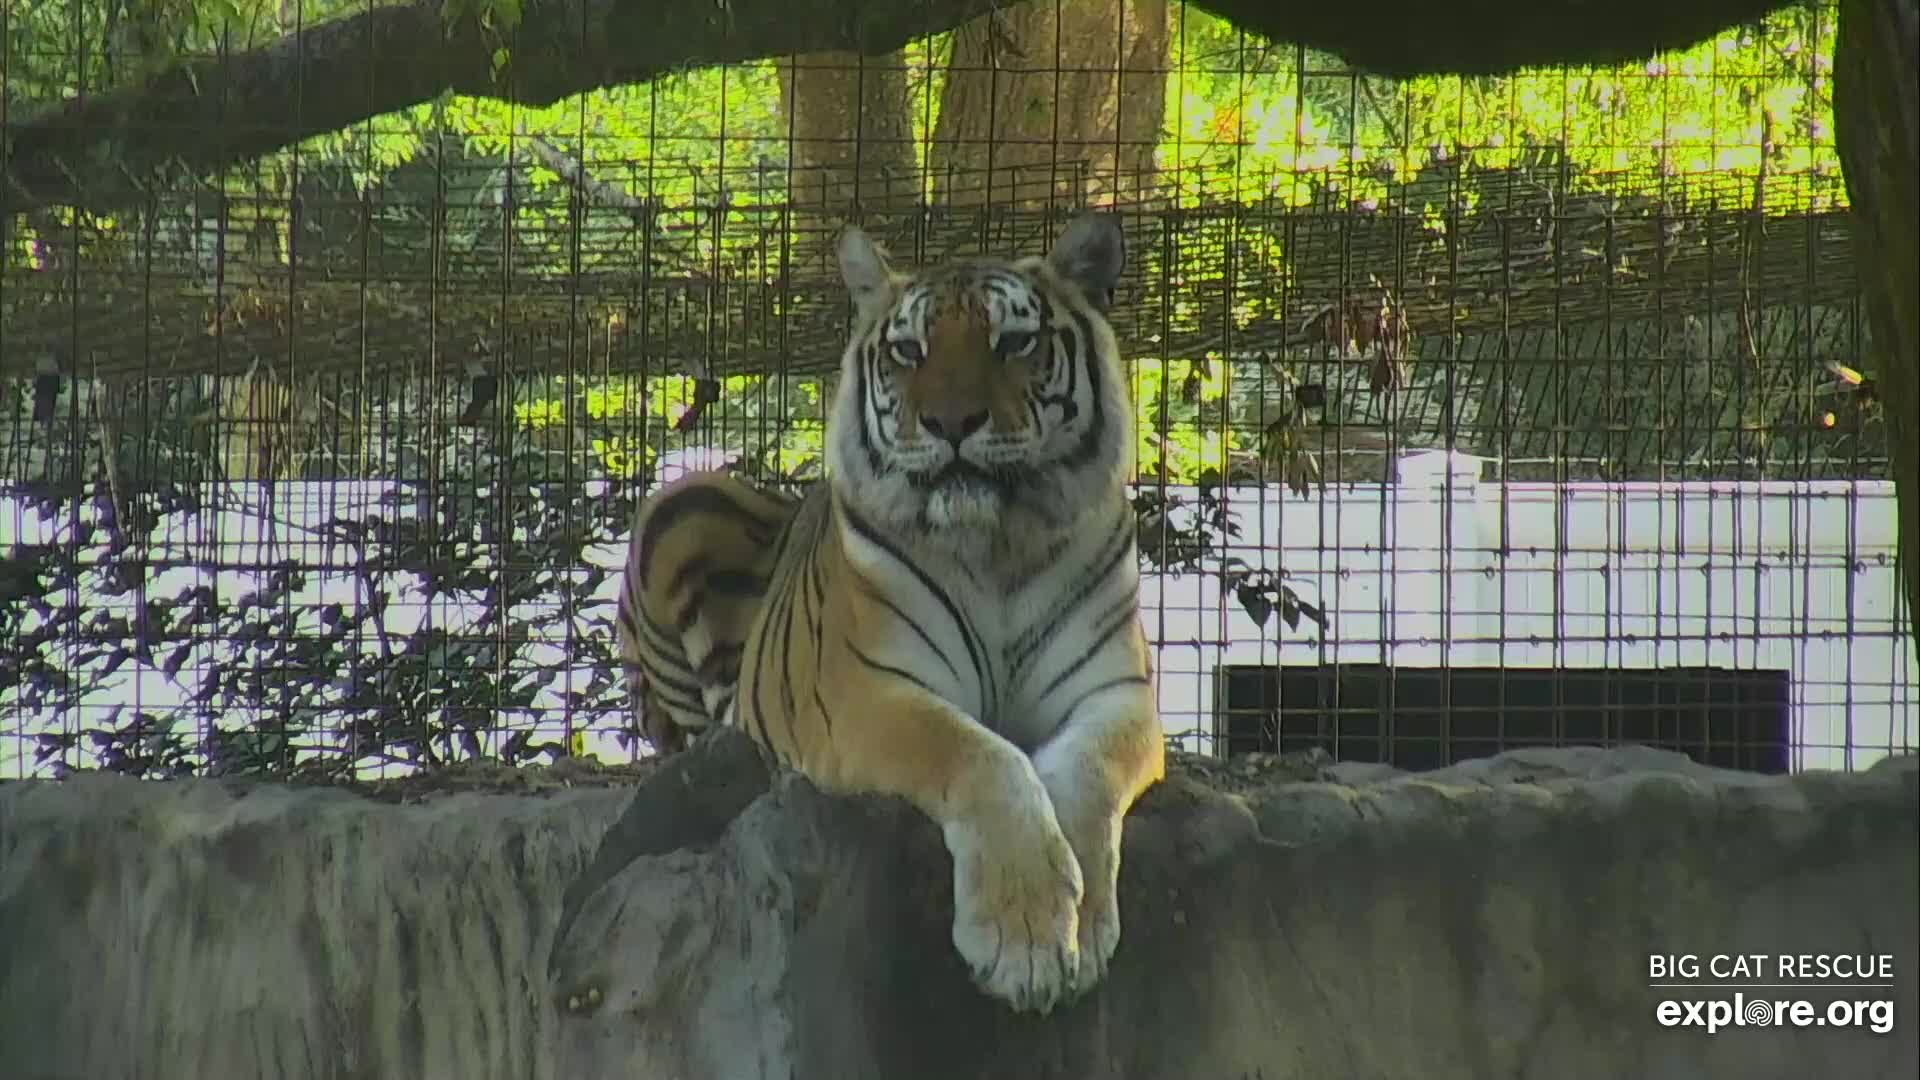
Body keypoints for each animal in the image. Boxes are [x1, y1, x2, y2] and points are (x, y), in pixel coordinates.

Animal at [614, 213, 1166, 1015]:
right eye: (909, 352)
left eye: (1014, 342)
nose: (950, 422)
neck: (997, 545)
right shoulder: (864, 690)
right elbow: (981, 757)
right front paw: (1026, 941)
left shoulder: (1113, 695)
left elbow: (1088, 773)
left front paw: (1083, 924)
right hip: (679, 499)